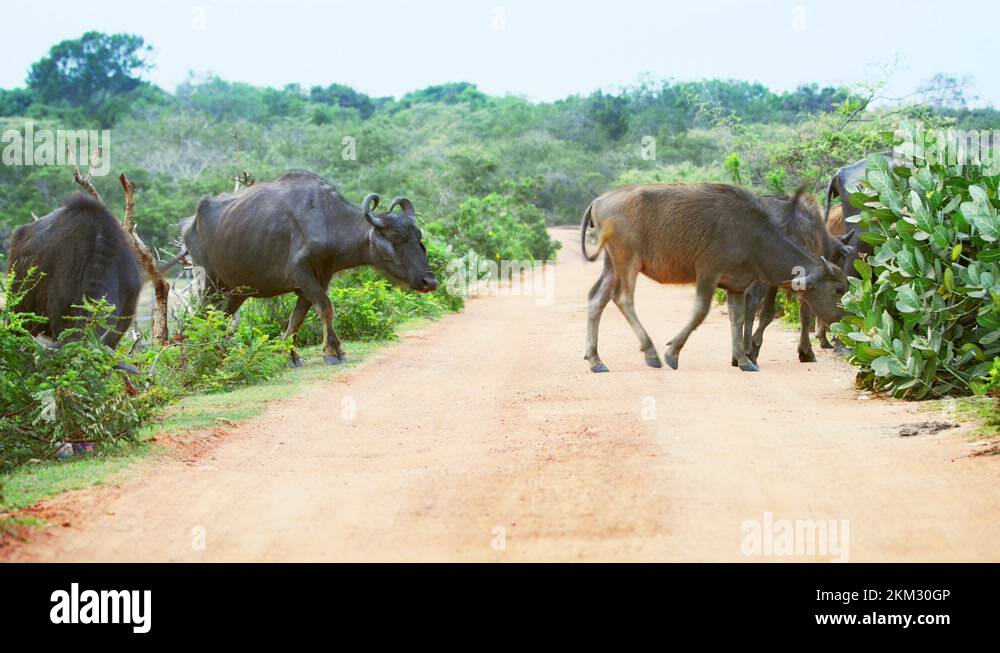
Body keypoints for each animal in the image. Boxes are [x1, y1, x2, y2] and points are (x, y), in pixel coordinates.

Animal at [179, 171, 437, 366]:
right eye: (397, 237)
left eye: (419, 237)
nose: (430, 281)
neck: (326, 220)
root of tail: (189, 223)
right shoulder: (302, 275)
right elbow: (325, 307)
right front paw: (333, 352)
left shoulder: (318, 279)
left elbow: (297, 318)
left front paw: (290, 355)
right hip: (210, 284)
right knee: (200, 316)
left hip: (237, 291)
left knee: (220, 318)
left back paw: (217, 355)